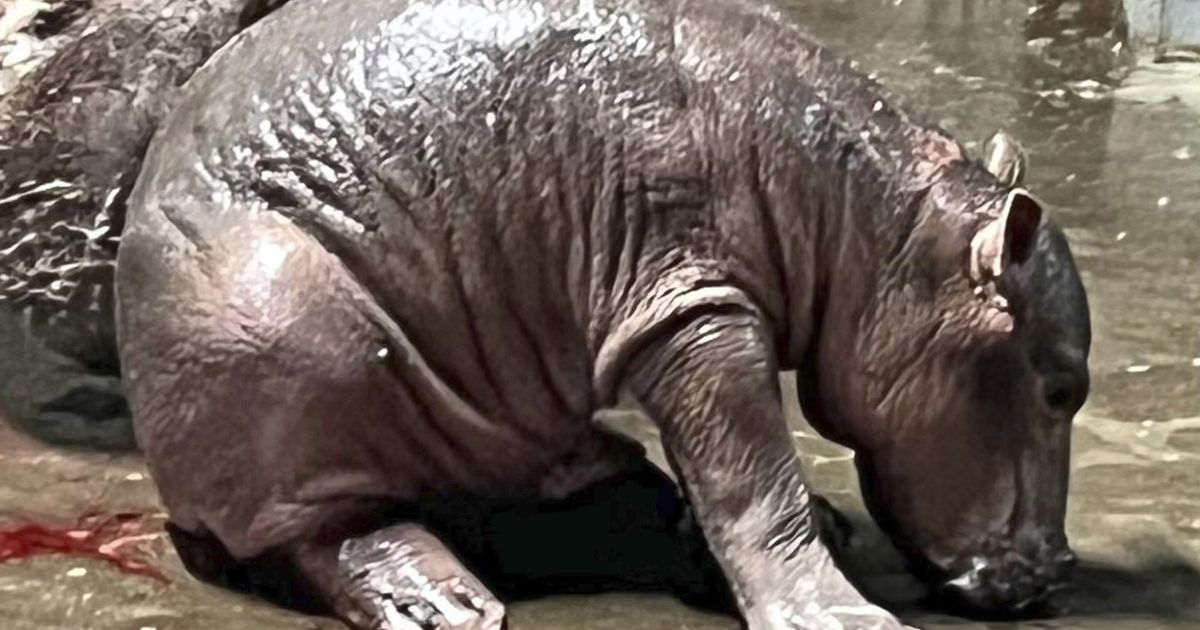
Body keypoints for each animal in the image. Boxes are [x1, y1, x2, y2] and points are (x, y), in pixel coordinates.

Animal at [9, 0, 1093, 627]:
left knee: (602, 490)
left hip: (509, 430)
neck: (878, 226)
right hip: (284, 345)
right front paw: (843, 617)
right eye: (1059, 386)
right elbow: (753, 479)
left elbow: (730, 484)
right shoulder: (692, 311)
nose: (1057, 571)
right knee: (324, 528)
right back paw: (442, 604)